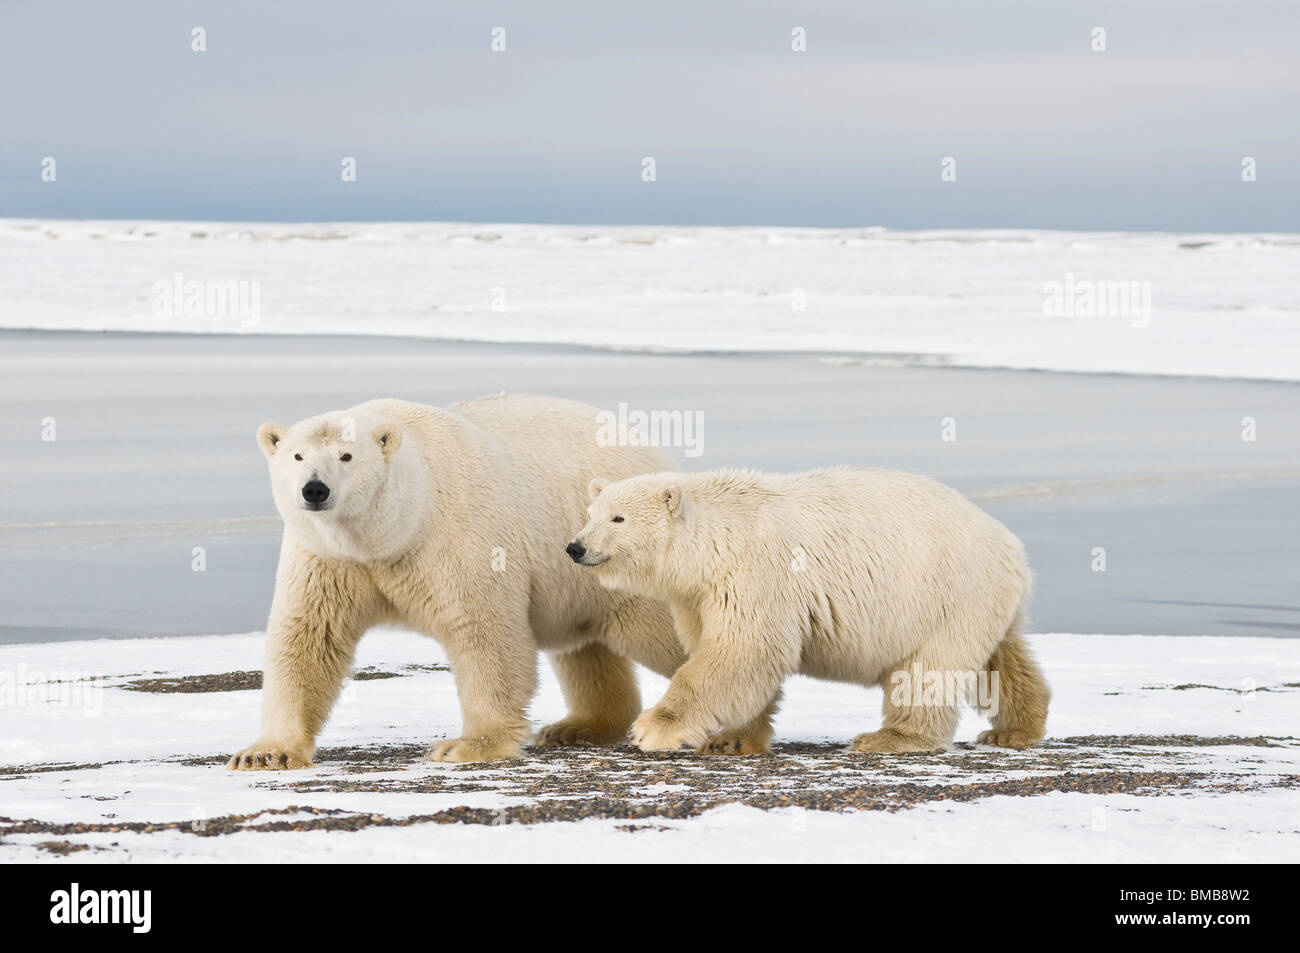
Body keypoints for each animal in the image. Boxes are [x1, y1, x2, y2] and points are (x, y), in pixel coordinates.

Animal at [228, 395, 690, 769]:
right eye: (297, 456)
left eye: (346, 456)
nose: (315, 490)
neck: (392, 532)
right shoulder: (327, 557)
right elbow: (309, 635)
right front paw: (264, 753)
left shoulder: (455, 533)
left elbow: (483, 631)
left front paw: (466, 745)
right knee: (584, 647)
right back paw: (578, 727)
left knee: (661, 629)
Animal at [567, 467, 1050, 755]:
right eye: (589, 513)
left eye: (618, 519)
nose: (576, 547)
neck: (714, 538)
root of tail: (1010, 542)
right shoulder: (696, 598)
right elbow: (726, 653)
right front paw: (731, 740)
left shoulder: (755, 574)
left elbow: (741, 651)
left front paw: (653, 728)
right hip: (983, 599)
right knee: (1003, 658)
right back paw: (1015, 728)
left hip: (945, 592)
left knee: (929, 669)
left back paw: (890, 737)